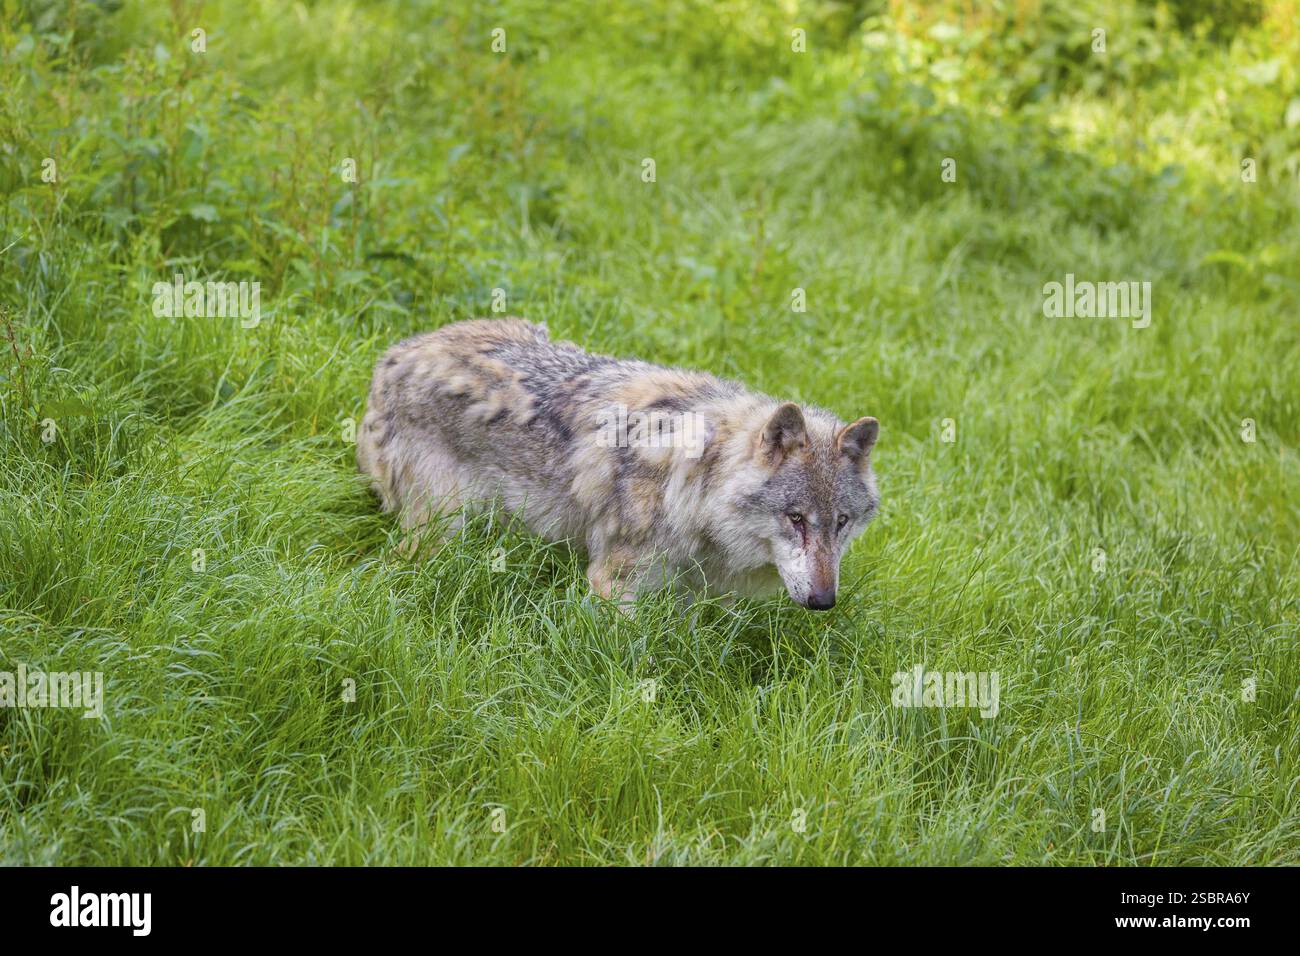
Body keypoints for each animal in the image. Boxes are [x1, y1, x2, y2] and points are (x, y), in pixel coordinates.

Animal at [357, 318, 880, 610]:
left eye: (841, 522)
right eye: (796, 519)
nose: (823, 602)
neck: (697, 480)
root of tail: (393, 356)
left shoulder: (691, 591)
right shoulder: (613, 583)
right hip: (442, 529)